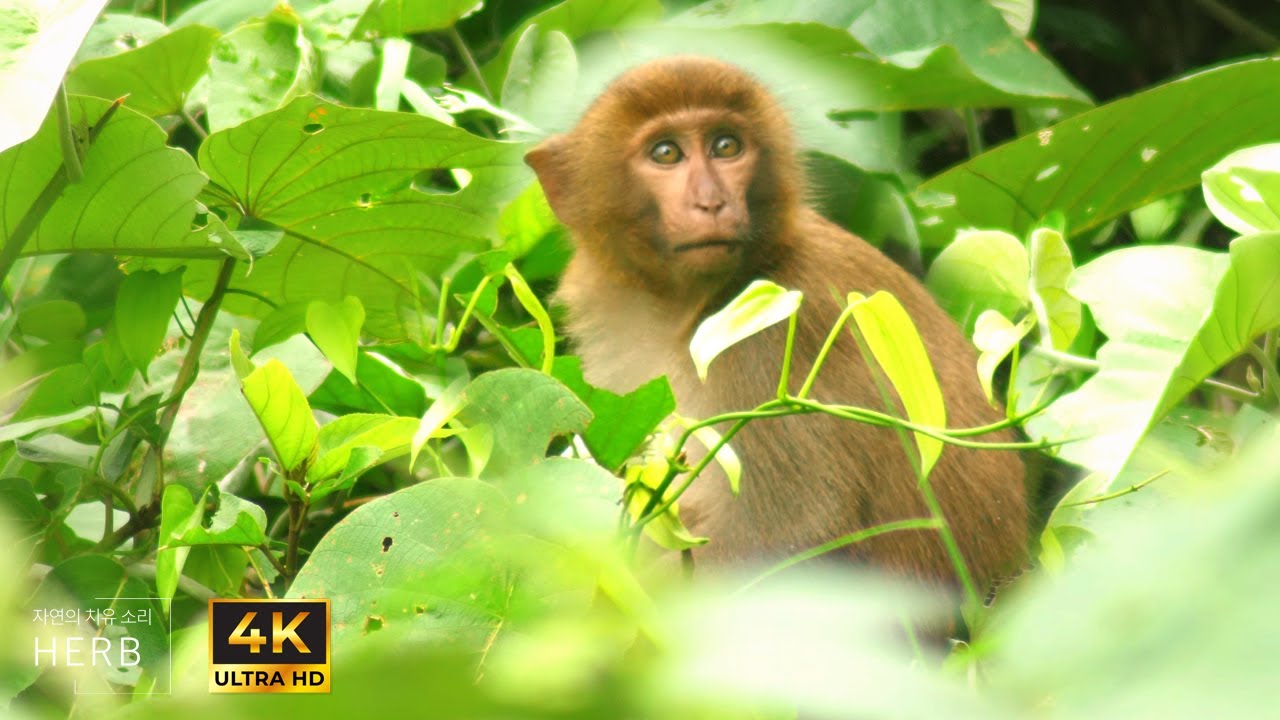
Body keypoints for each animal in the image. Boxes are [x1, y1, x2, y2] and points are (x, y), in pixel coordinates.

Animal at [524, 56, 1026, 594]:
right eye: (666, 153)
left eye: (726, 147)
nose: (711, 202)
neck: (682, 305)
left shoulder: (764, 340)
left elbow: (789, 542)